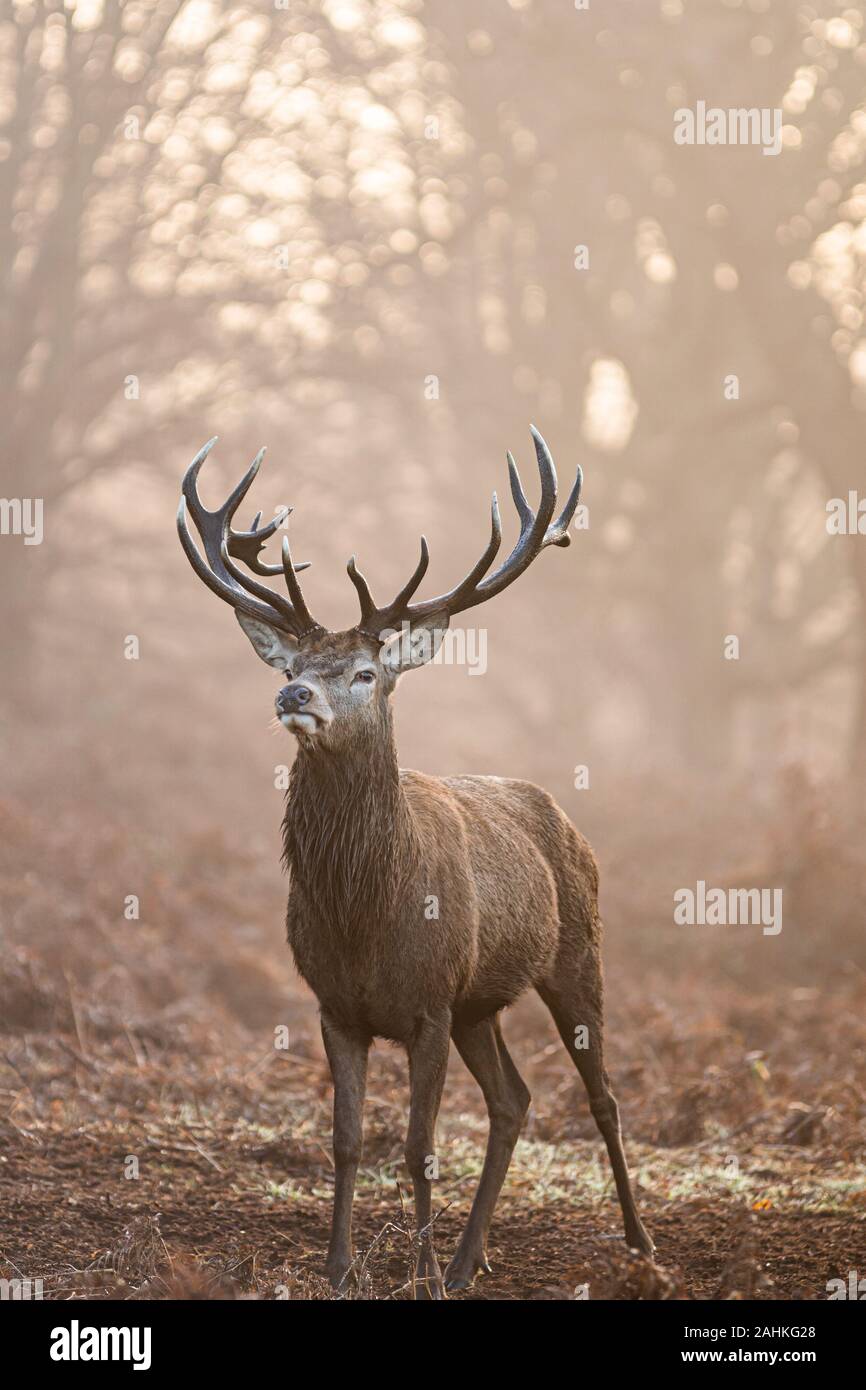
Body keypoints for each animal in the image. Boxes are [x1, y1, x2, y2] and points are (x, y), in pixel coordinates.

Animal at [177, 426, 653, 1299]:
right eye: (292, 665)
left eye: (366, 673)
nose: (293, 698)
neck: (366, 913)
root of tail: (565, 818)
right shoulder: (337, 1007)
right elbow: (346, 1141)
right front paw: (339, 1267)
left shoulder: (429, 1003)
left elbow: (418, 1147)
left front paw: (419, 1274)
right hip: (480, 1004)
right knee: (513, 1099)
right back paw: (472, 1257)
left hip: (576, 955)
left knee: (600, 1096)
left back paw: (636, 1243)